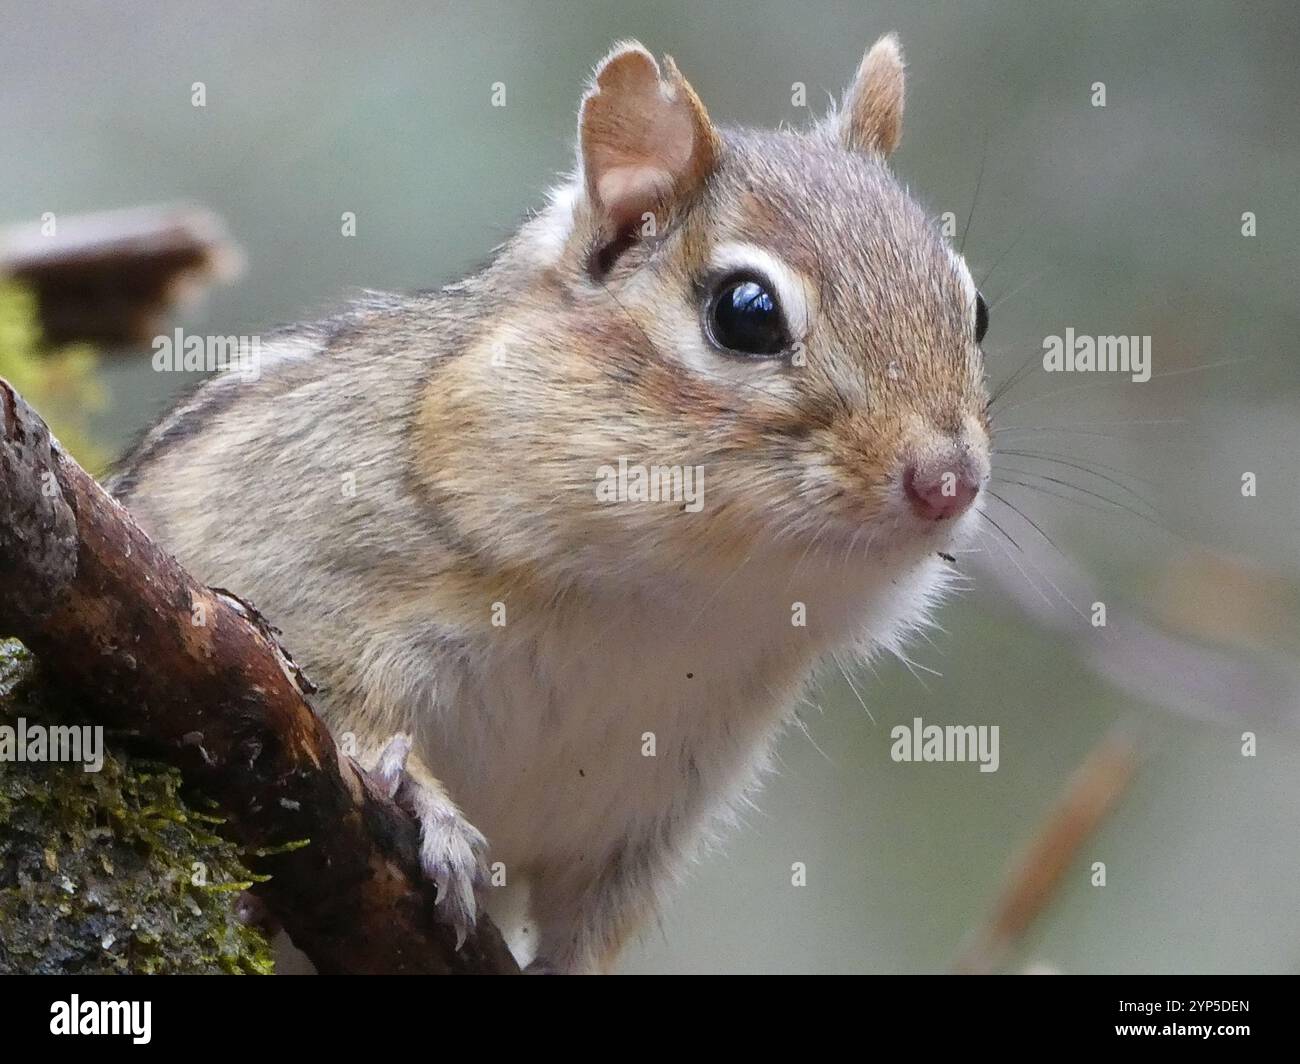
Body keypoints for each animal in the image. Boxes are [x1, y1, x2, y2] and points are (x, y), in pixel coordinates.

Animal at [110, 33, 992, 973]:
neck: (668, 602)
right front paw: (421, 801)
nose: (947, 480)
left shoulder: (651, 820)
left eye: (975, 308)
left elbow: (591, 926)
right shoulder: (307, 567)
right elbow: (342, 707)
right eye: (746, 313)